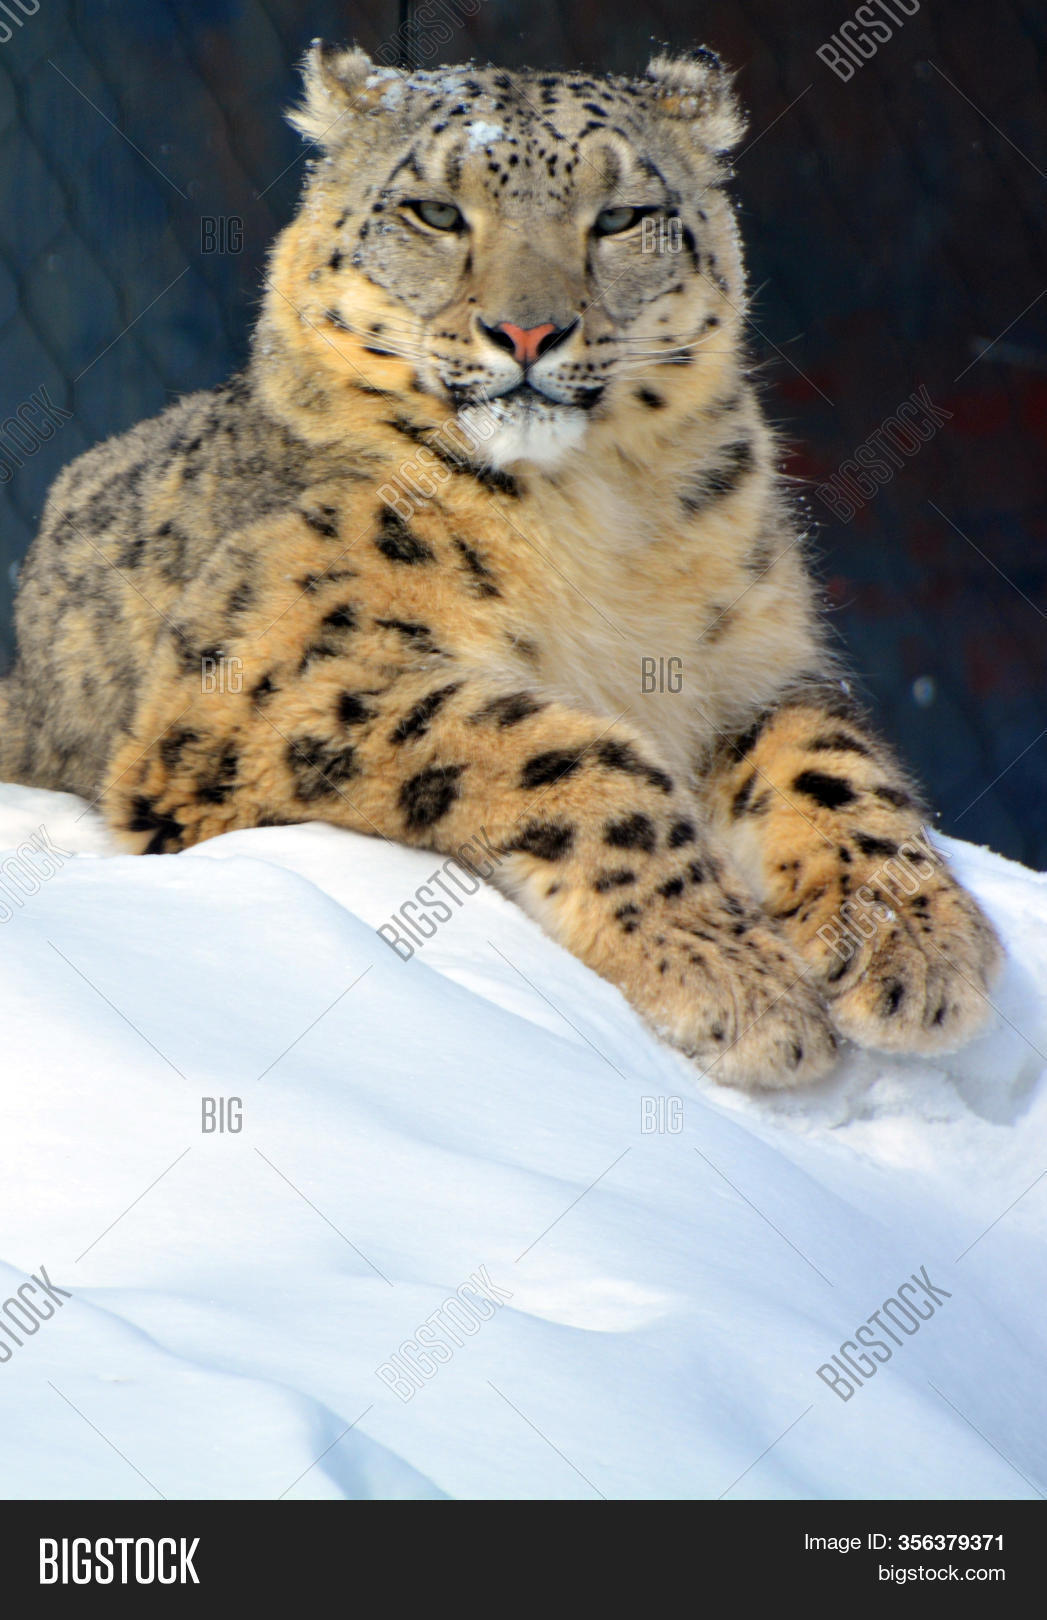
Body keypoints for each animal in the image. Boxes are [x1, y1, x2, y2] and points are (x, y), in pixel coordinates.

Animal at [0, 43, 1002, 1089]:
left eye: (620, 216)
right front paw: (737, 984)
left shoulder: (756, 667)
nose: (528, 332)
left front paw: (913, 946)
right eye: (435, 212)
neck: (599, 521)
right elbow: (573, 754)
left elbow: (834, 766)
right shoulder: (264, 688)